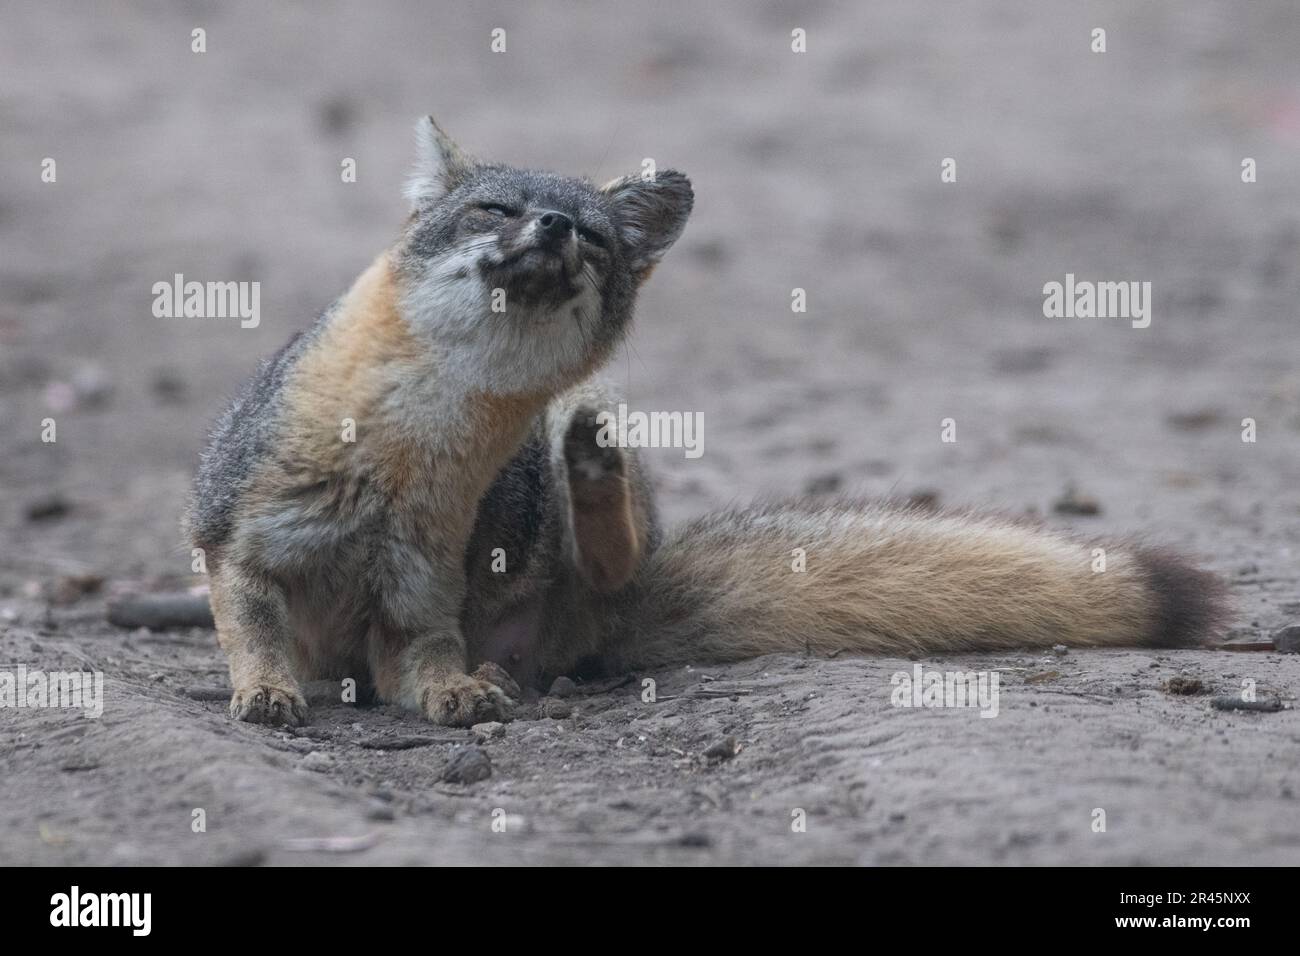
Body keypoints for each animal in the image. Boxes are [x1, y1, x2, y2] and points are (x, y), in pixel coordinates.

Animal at [190, 117, 1229, 729]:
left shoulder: (419, 598)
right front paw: (266, 689)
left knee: (613, 553)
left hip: (579, 502)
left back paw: (593, 477)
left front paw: (454, 691)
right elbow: (255, 631)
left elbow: (431, 665)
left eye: (592, 237)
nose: (555, 231)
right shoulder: (235, 542)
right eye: (496, 207)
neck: (404, 451)